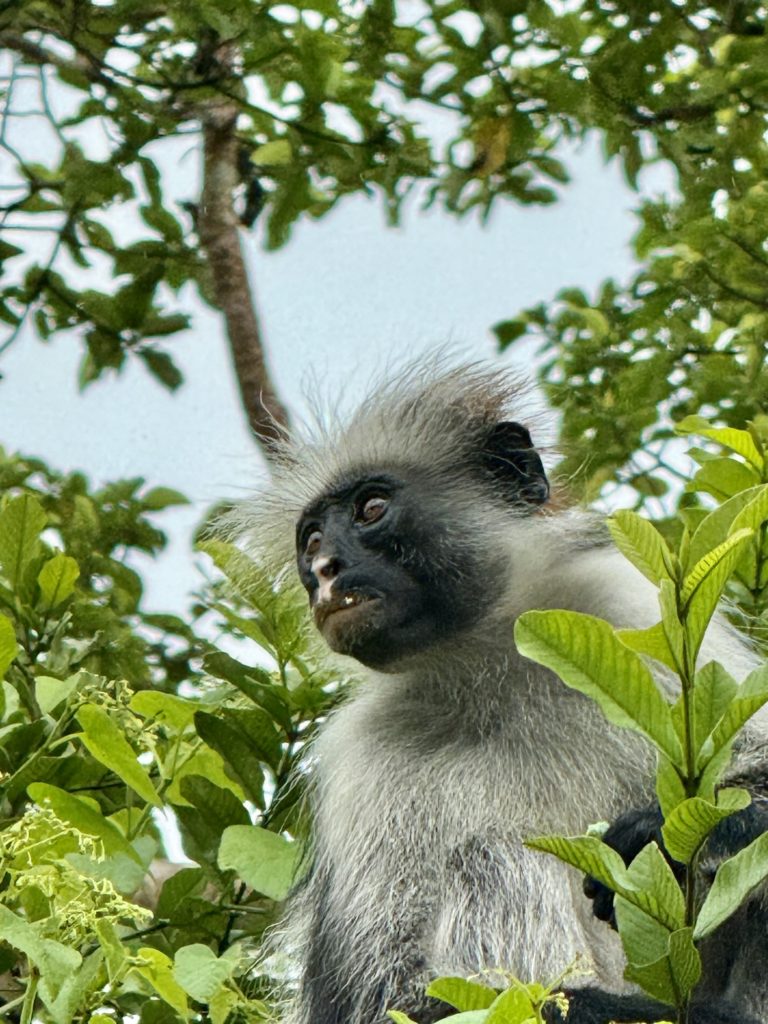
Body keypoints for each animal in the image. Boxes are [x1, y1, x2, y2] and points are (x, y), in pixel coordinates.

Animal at [241, 362, 768, 1024]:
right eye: (310, 540)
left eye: (371, 508)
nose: (324, 570)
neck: (487, 671)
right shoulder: (360, 761)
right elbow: (389, 998)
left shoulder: (619, 609)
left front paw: (671, 834)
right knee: (489, 855)